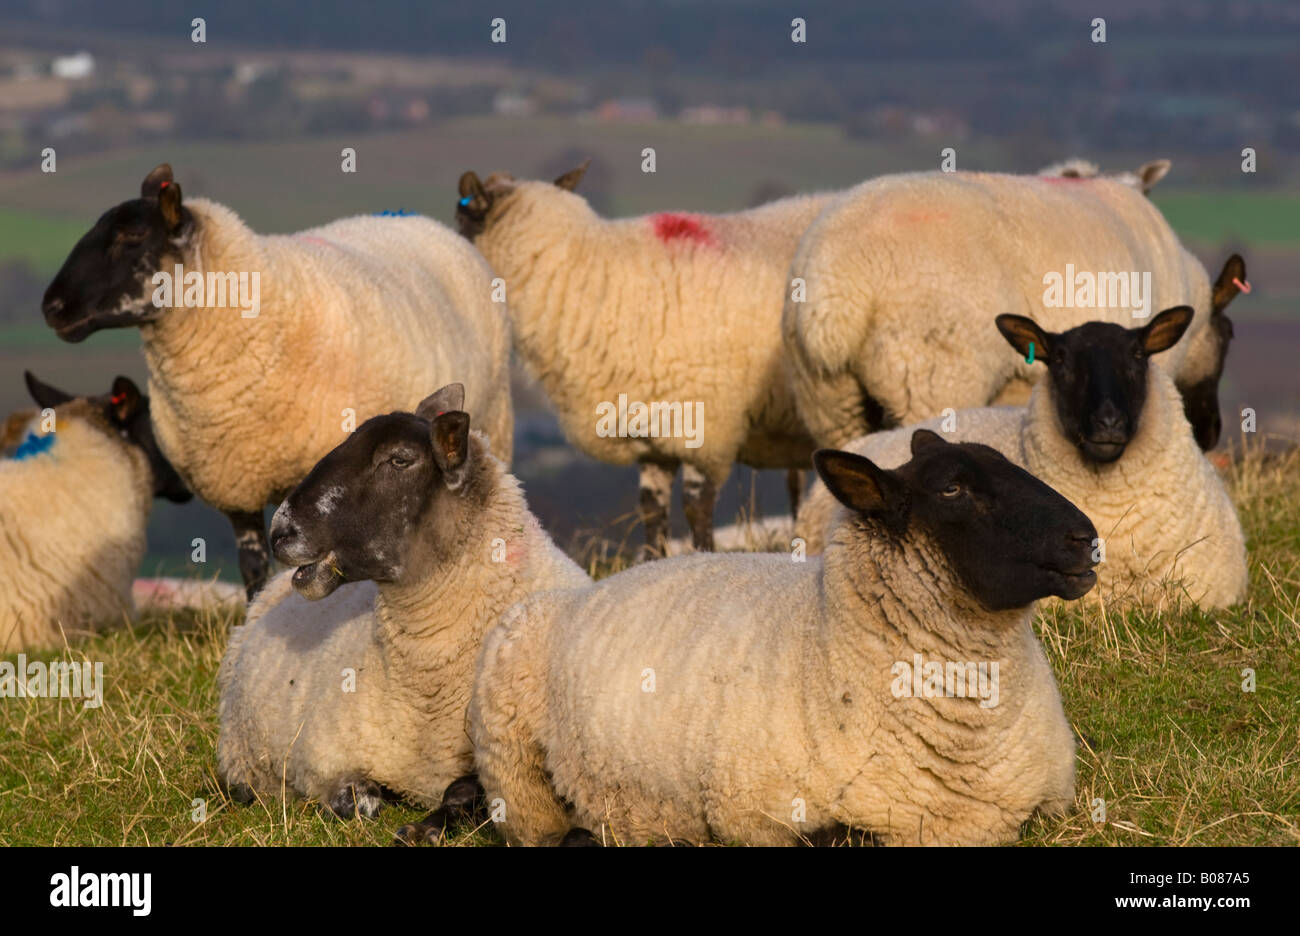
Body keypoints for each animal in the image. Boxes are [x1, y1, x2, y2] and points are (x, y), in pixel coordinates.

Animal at [42, 163, 514, 599]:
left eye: (133, 236)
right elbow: (253, 568)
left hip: (495, 420)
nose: (51, 307)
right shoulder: (236, 486)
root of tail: (420, 221)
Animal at [455, 161, 836, 557]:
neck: (595, 279)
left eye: (462, 215)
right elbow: (652, 510)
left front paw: (703, 553)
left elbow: (696, 506)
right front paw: (654, 560)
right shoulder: (655, 433)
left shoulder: (706, 421)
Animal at [466, 429, 1097, 846]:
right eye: (952, 490)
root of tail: (581, 591)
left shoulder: (1041, 808)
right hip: (516, 777)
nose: (1085, 540)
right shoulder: (769, 823)